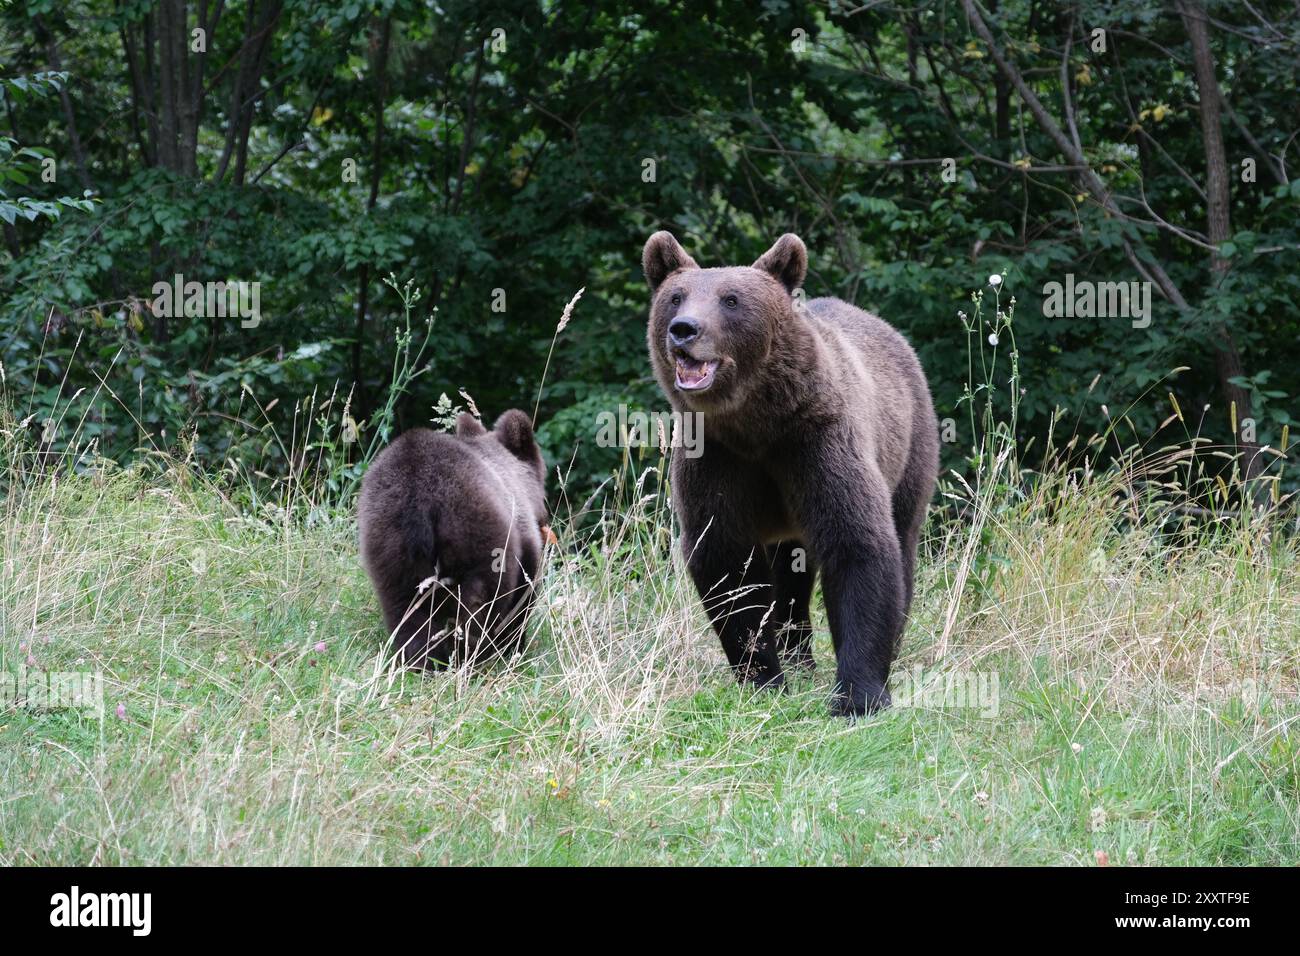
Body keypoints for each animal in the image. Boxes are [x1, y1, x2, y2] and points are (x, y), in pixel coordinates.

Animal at [357, 409, 548, 668]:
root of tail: (419, 498)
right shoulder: (521, 534)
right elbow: (522, 596)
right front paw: (513, 647)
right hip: (477, 533)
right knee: (479, 607)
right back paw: (472, 658)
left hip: (389, 544)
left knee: (407, 613)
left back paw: (423, 663)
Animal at [642, 231, 939, 716]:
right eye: (675, 297)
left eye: (731, 299)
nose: (684, 329)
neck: (756, 424)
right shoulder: (717, 458)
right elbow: (727, 564)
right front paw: (763, 679)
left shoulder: (816, 441)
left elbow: (858, 543)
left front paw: (858, 695)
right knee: (791, 574)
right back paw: (799, 657)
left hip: (911, 444)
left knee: (902, 537)